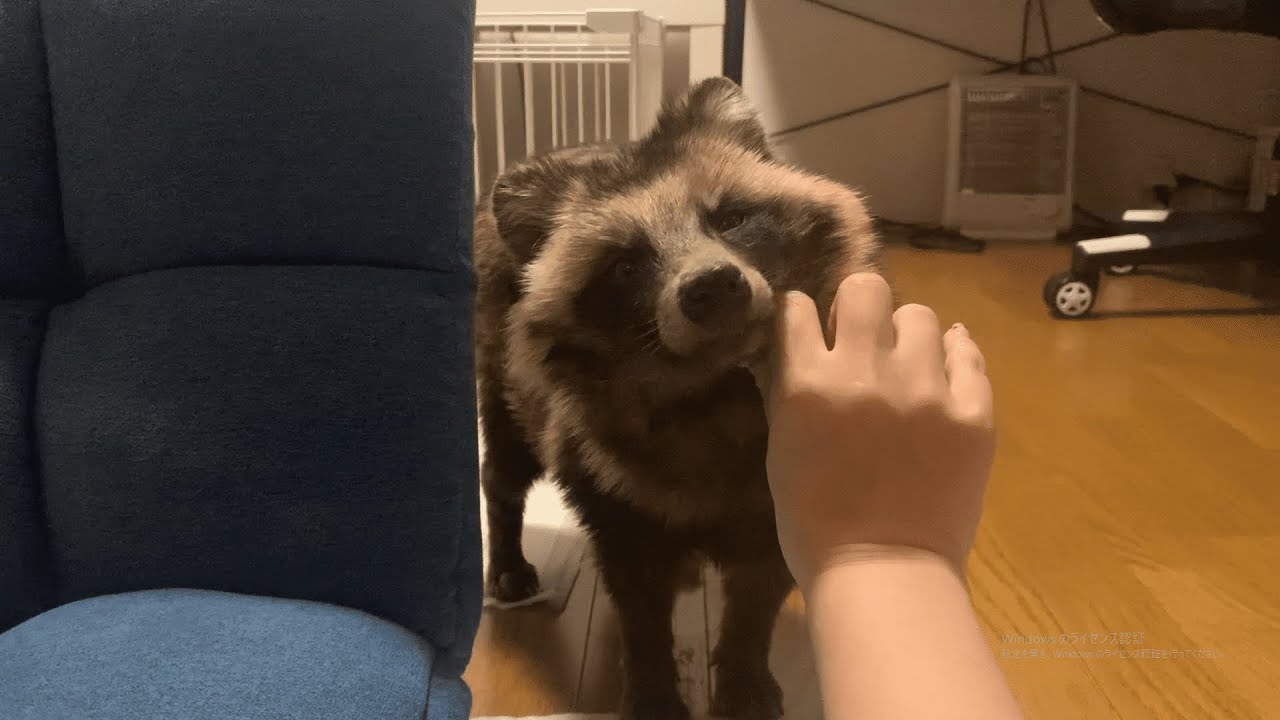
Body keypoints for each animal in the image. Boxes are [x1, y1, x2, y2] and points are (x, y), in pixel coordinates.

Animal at [474, 77, 881, 720]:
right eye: (625, 265)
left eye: (732, 218)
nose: (713, 286)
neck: (716, 389)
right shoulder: (608, 488)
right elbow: (640, 602)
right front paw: (653, 687)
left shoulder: (778, 487)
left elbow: (757, 594)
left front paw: (742, 674)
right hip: (504, 373)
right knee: (505, 472)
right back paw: (507, 551)